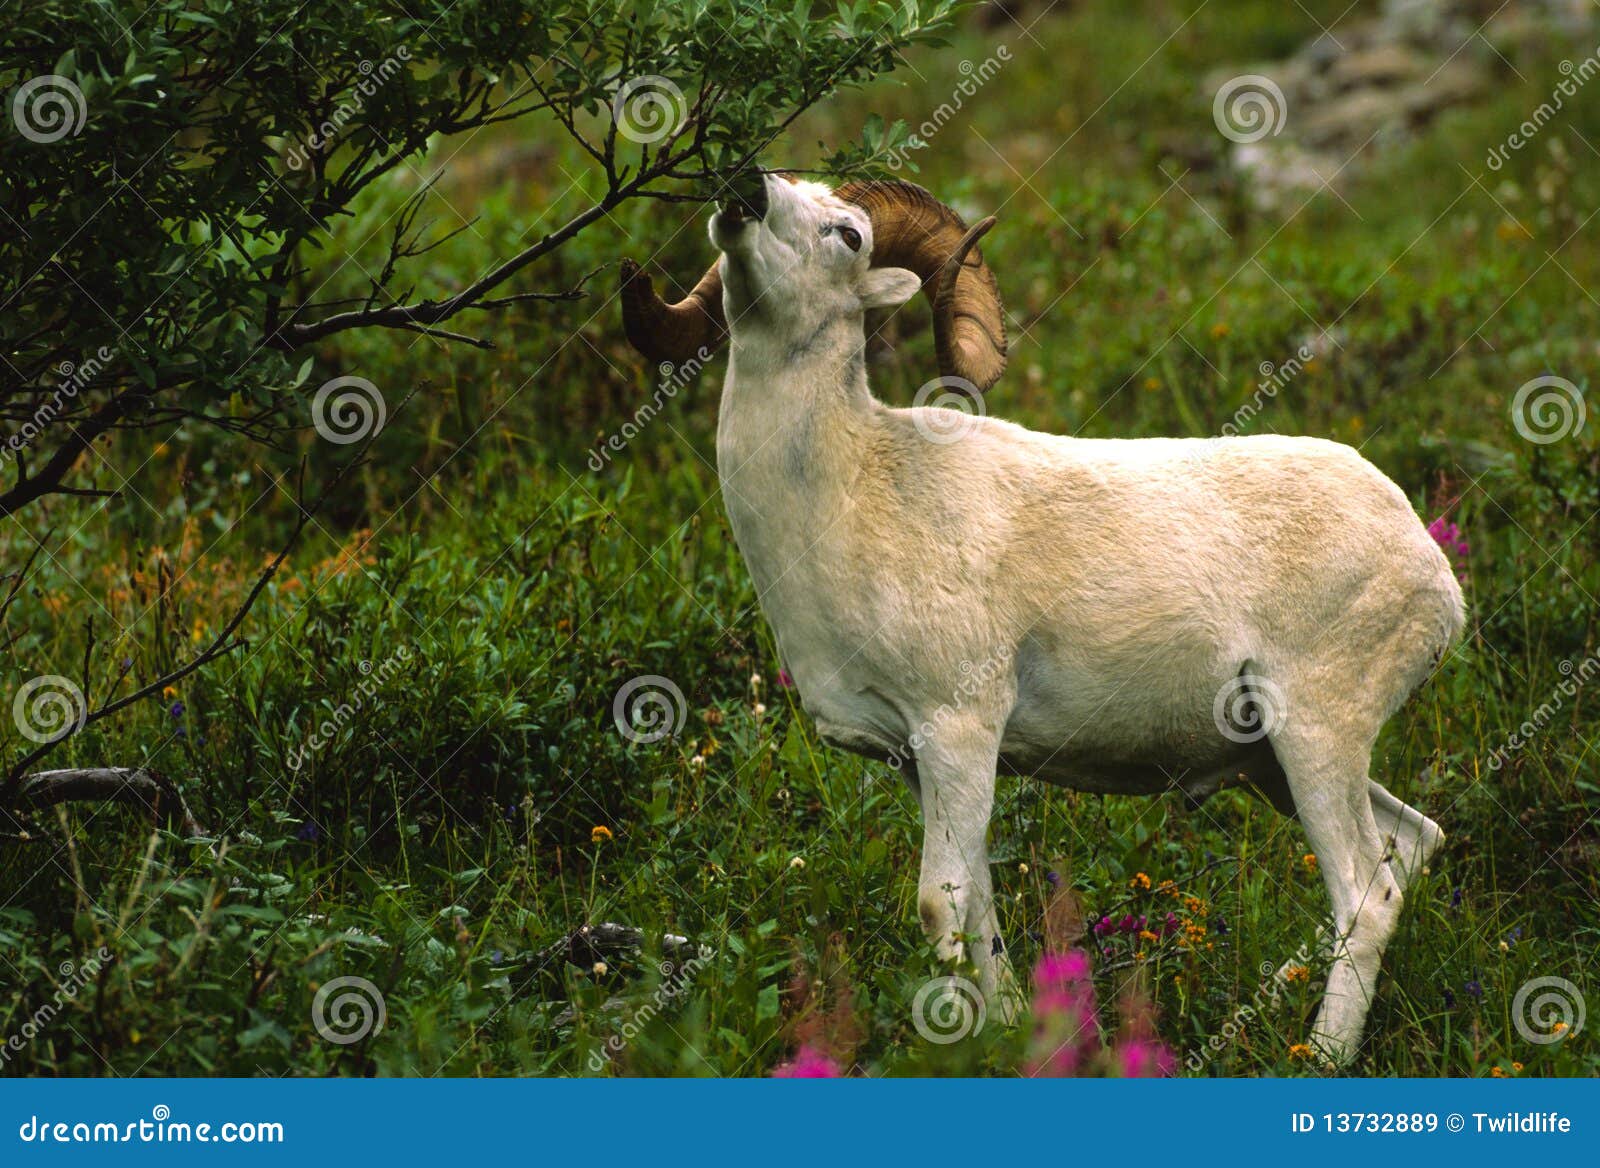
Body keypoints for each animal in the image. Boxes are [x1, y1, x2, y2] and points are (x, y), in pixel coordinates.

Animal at [618, 172, 1464, 1064]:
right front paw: (1012, 1028)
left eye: (847, 234)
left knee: (1368, 895)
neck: (848, 494)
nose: (740, 192)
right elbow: (979, 907)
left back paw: (1321, 1056)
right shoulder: (920, 758)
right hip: (1273, 761)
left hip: (1317, 735)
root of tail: (1430, 567)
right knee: (1413, 844)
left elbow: (941, 903)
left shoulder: (959, 730)